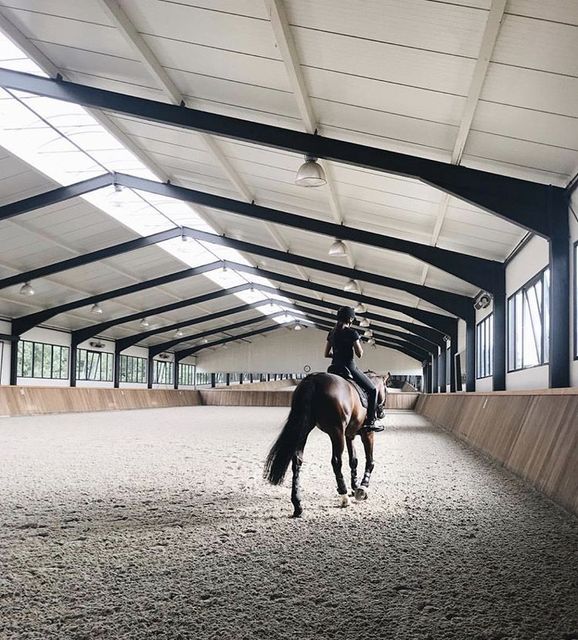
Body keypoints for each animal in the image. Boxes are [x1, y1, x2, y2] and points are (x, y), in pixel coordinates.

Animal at [264, 371, 387, 517]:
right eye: (386, 389)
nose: (381, 413)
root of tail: (313, 380)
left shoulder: (349, 435)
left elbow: (353, 460)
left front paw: (355, 486)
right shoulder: (367, 433)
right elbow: (370, 460)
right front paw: (362, 488)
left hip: (304, 429)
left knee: (297, 461)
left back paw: (298, 505)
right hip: (336, 431)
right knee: (336, 461)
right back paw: (344, 497)